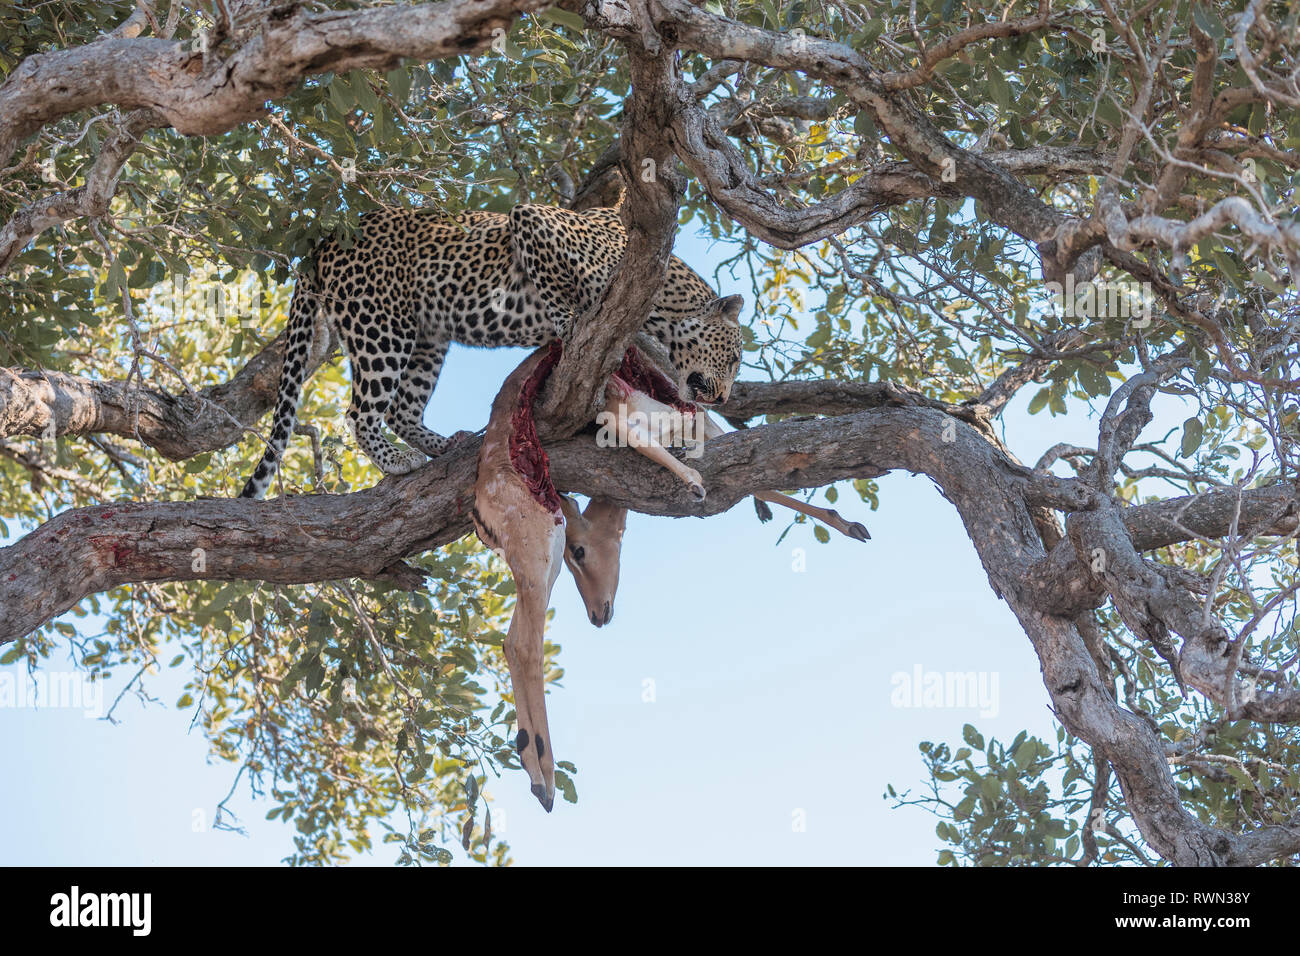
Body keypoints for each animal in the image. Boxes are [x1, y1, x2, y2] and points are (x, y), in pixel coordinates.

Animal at [239, 202, 745, 499]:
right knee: (361, 412)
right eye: (737, 358)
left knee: (402, 408)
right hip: (379, 328)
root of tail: (323, 241)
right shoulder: (533, 221)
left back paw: (445, 445)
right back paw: (398, 462)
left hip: (428, 337)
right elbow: (557, 291)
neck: (664, 301)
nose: (723, 397)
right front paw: (570, 322)